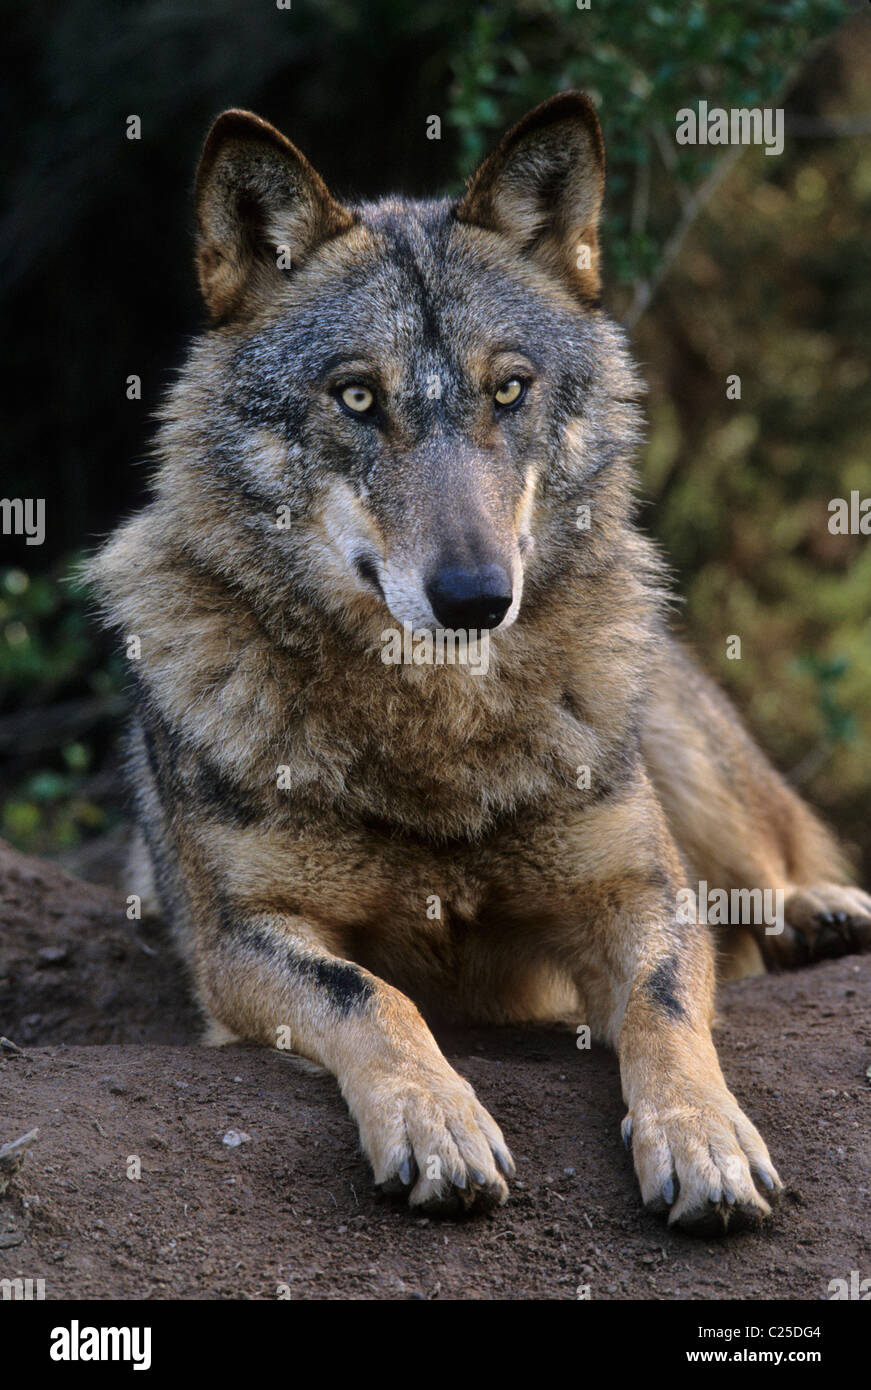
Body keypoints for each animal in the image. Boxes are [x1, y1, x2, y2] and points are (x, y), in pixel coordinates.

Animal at [88, 93, 871, 1233]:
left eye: (507, 390)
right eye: (356, 399)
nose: (473, 596)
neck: (434, 732)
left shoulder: (637, 891)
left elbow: (666, 1006)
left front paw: (705, 1139)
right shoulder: (238, 941)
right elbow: (373, 996)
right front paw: (437, 1122)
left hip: (673, 739)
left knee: (766, 868)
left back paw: (821, 916)